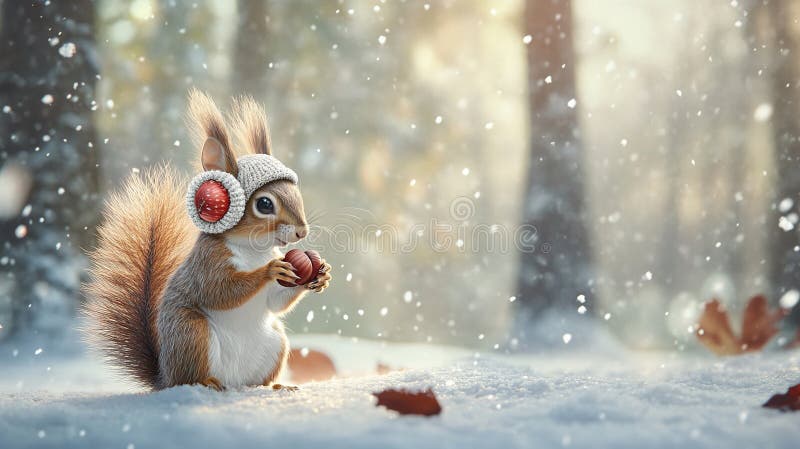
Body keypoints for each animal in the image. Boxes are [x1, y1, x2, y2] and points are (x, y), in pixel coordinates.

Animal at [82, 90, 332, 391]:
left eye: (297, 193)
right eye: (264, 204)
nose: (301, 232)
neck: (253, 250)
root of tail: (165, 376)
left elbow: (275, 302)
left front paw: (321, 274)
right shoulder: (207, 261)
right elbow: (219, 290)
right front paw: (269, 271)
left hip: (275, 343)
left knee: (256, 378)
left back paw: (273, 386)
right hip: (191, 333)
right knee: (189, 377)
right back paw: (207, 383)